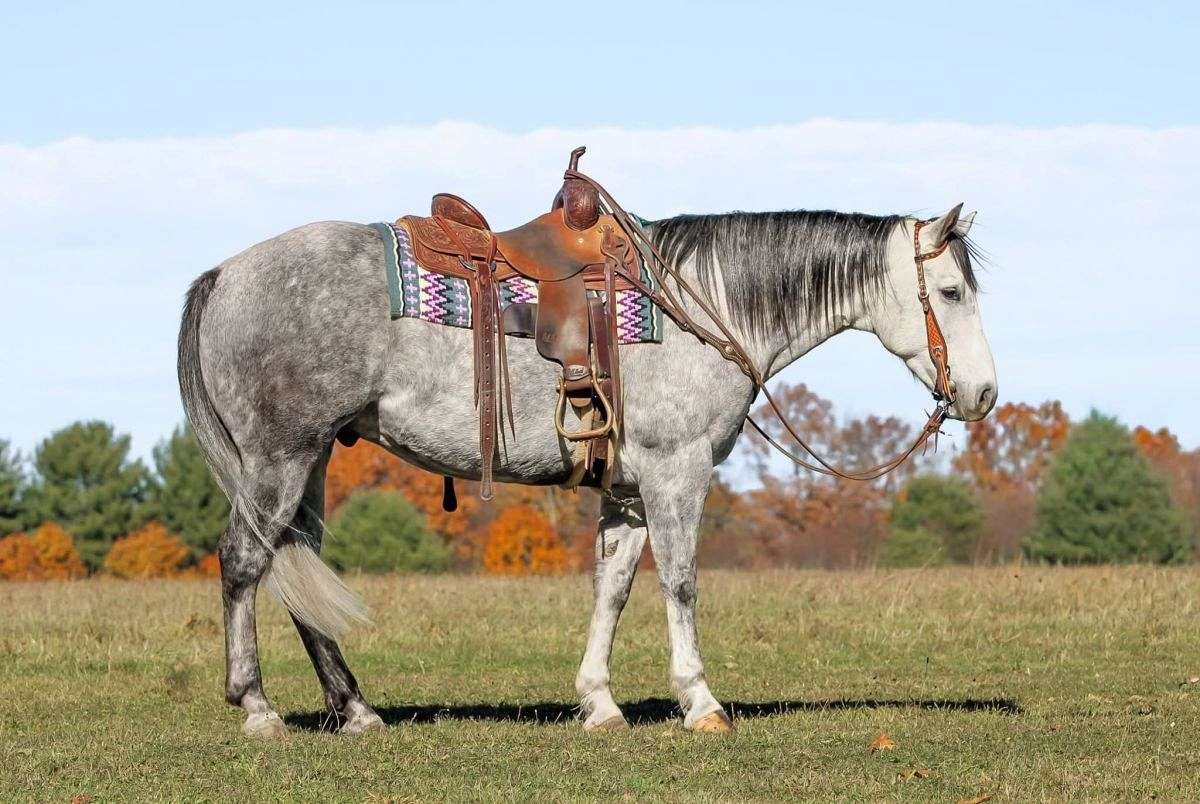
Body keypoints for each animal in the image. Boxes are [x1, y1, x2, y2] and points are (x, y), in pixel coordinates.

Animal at [178, 201, 997, 737]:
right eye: (951, 291)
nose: (983, 393)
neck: (704, 306)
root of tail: (224, 274)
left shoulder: (629, 493)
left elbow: (613, 591)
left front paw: (599, 704)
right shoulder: (676, 473)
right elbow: (680, 583)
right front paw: (701, 703)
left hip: (310, 458)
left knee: (296, 567)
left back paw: (355, 709)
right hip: (280, 457)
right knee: (246, 561)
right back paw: (257, 708)